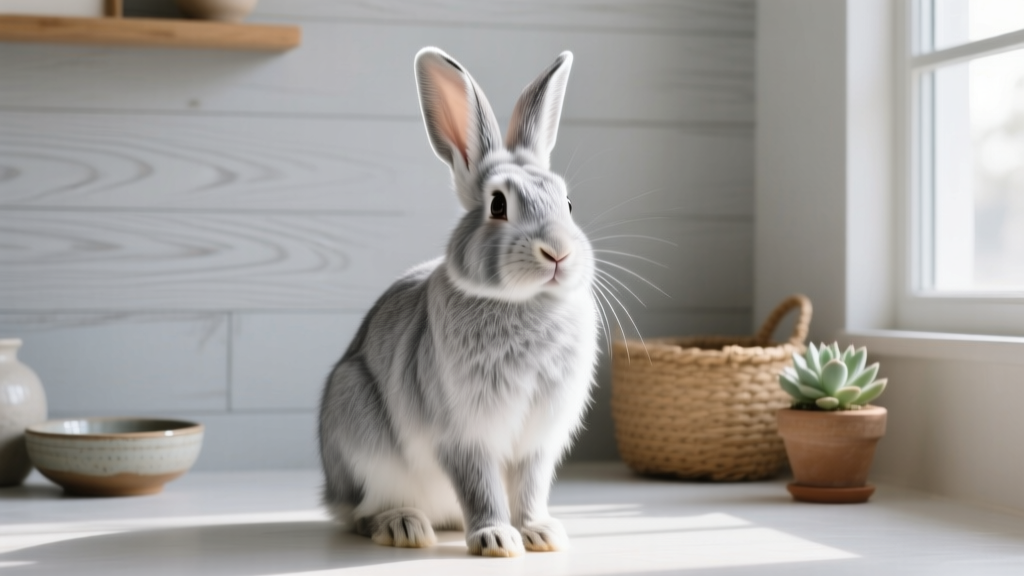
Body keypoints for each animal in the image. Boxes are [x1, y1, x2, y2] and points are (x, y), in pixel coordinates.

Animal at [318, 47, 598, 558]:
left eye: (567, 204)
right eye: (498, 206)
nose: (558, 252)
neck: (523, 302)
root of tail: (332, 491)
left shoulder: (537, 443)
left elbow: (531, 488)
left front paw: (542, 534)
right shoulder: (464, 436)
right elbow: (479, 486)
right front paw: (496, 539)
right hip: (360, 435)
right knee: (362, 515)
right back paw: (404, 526)